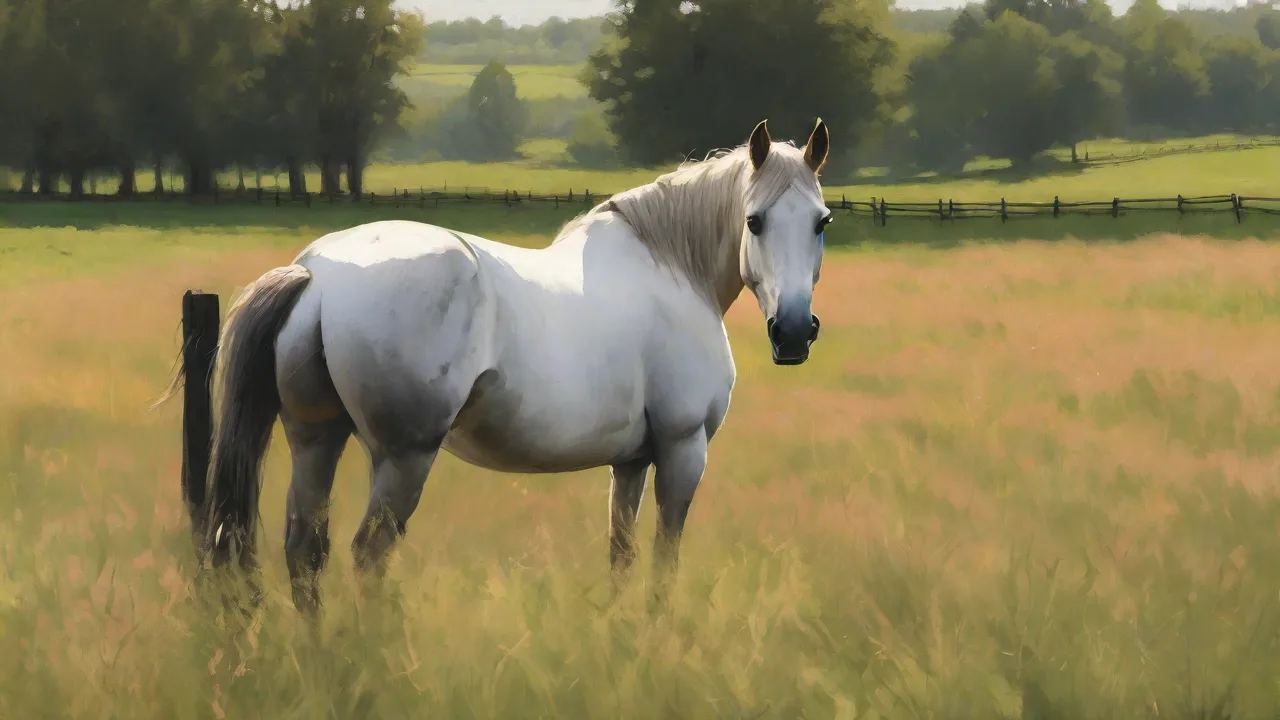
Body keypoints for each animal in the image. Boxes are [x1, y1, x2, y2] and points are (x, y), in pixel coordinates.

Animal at [172, 118, 833, 614]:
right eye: (754, 221)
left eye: (821, 222)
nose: (793, 333)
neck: (672, 269)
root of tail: (318, 274)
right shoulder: (681, 450)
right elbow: (664, 562)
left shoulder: (630, 462)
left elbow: (621, 556)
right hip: (402, 460)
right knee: (367, 555)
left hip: (316, 439)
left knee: (305, 552)